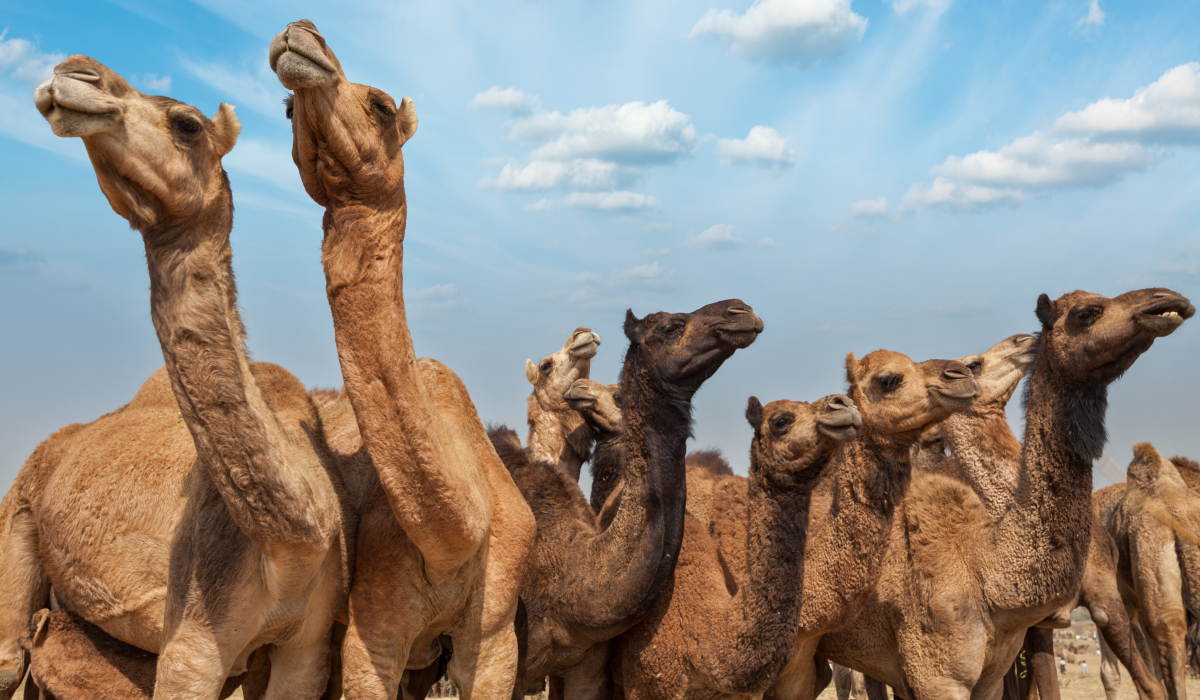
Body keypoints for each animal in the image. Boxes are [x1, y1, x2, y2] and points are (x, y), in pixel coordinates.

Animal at [0, 55, 356, 699]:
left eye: (187, 124)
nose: (74, 72)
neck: (295, 545)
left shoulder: (310, 647)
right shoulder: (194, 642)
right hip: (17, 512)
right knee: (9, 657)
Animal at [271, 20, 537, 700]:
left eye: (381, 106)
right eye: (286, 110)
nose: (300, 33)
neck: (459, 531)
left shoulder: (496, 633)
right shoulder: (373, 631)